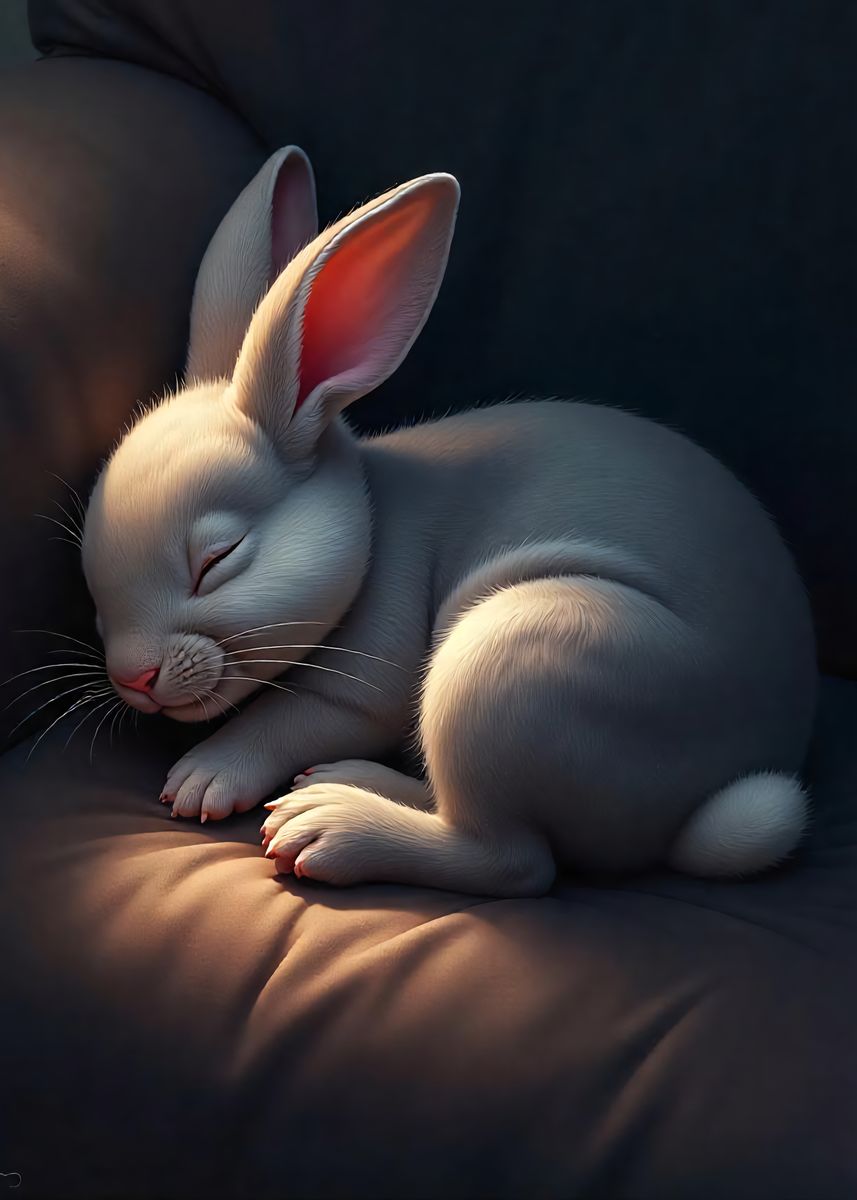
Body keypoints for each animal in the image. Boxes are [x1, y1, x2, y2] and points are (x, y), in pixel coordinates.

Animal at [80, 145, 818, 897]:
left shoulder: (363, 678)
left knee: (511, 856)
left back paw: (329, 825)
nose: (133, 680)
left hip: (517, 655)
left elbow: (287, 718)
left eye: (217, 560)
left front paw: (204, 777)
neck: (374, 521)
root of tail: (684, 824)